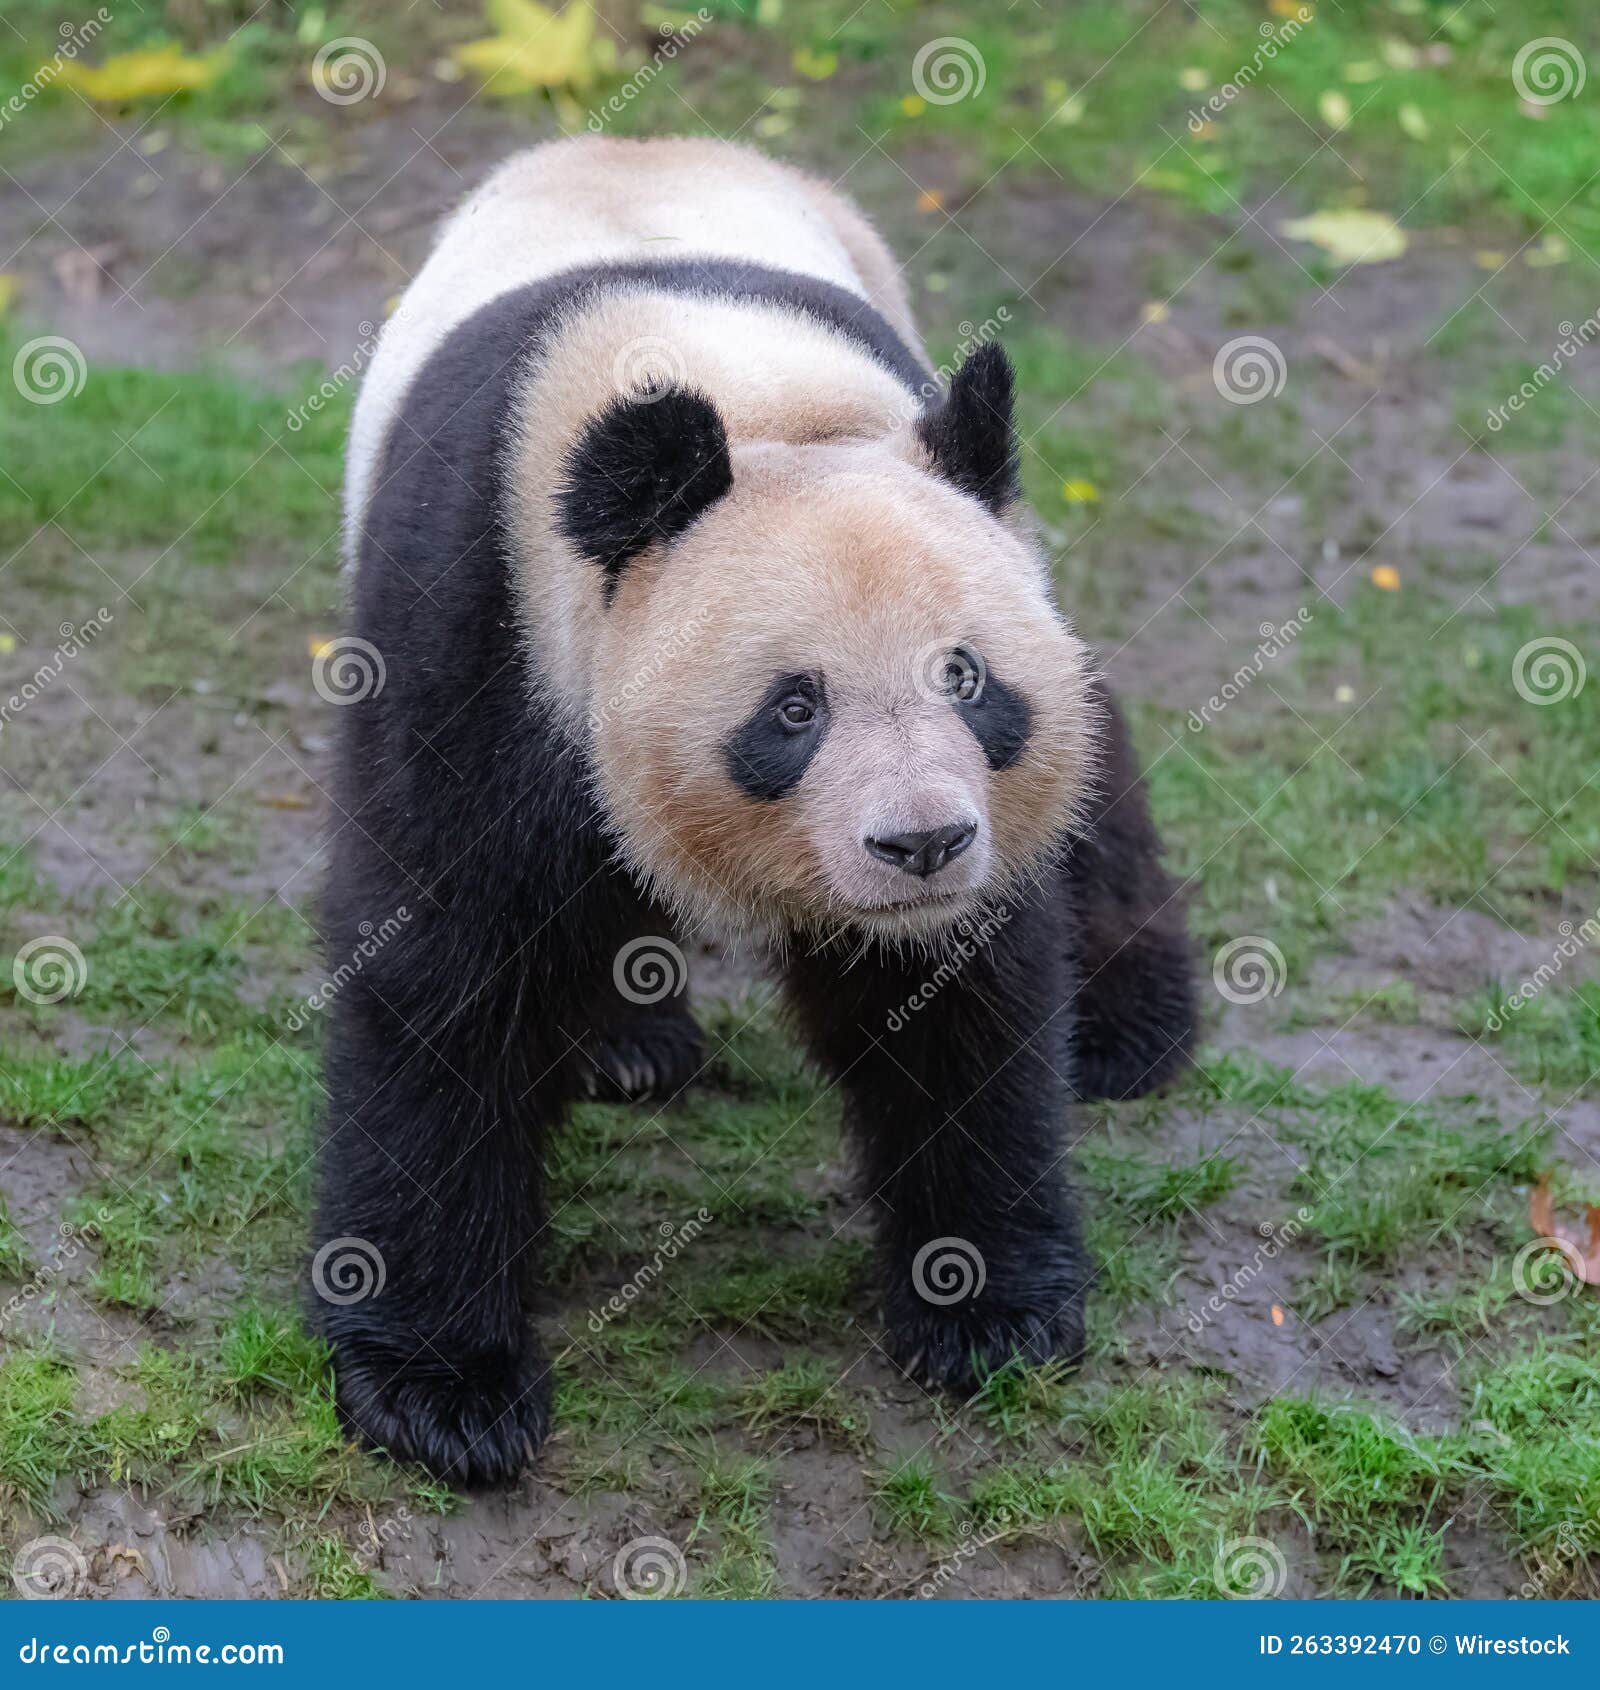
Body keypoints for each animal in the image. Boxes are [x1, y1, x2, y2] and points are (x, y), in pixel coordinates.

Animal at [314, 135, 1195, 1486]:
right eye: (793, 709)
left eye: (967, 679)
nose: (922, 844)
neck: (763, 408)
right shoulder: (478, 631)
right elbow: (445, 972)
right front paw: (441, 1390)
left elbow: (958, 1010)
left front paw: (985, 1305)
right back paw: (631, 1046)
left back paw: (1130, 1031)